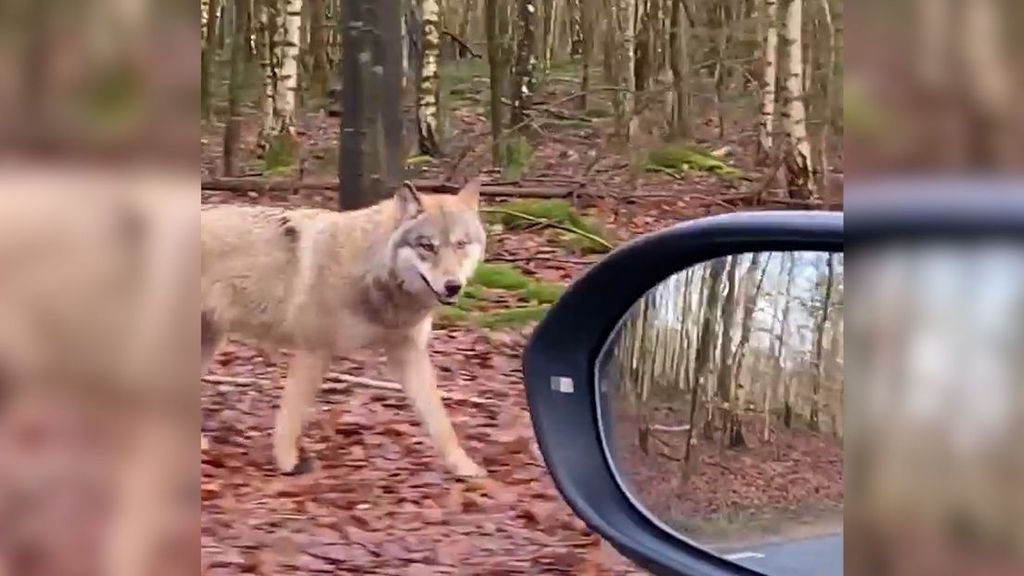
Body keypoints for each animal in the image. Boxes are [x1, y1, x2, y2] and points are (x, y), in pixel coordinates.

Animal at [201, 178, 488, 478]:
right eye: (427, 246)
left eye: (460, 244)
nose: (453, 286)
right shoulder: (312, 351)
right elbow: (290, 418)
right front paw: (288, 464)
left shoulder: (409, 355)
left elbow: (441, 422)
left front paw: (465, 467)